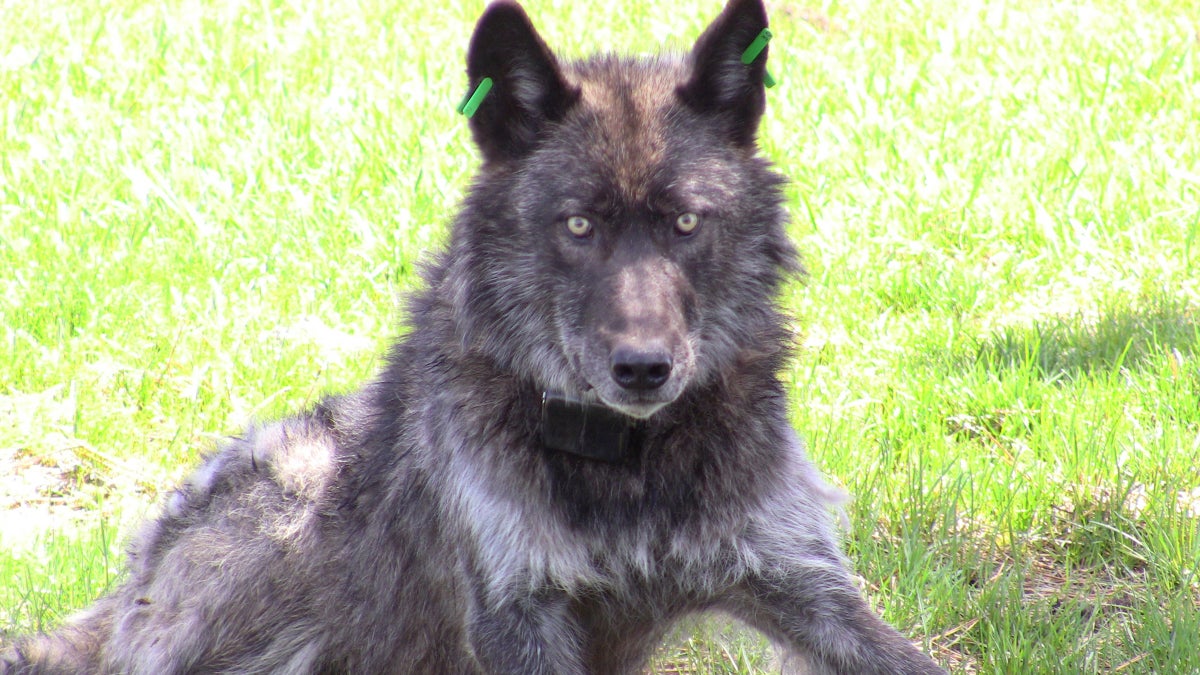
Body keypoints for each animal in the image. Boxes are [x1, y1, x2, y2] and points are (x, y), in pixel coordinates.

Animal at [2, 0, 946, 673]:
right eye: (577, 225)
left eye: (685, 222)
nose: (643, 370)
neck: (629, 467)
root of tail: (120, 593)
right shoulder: (516, 610)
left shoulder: (802, 582)